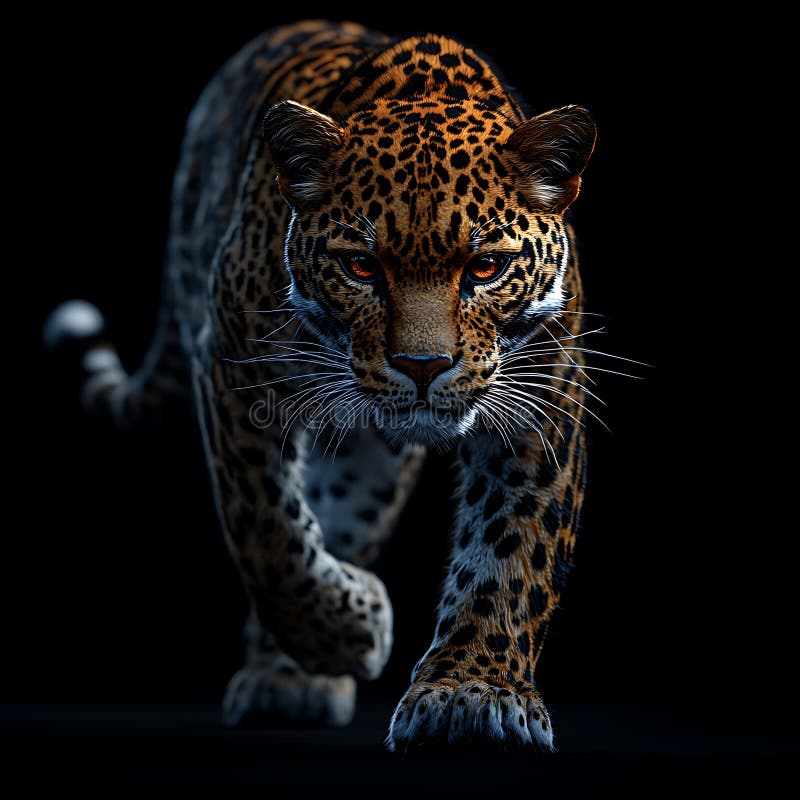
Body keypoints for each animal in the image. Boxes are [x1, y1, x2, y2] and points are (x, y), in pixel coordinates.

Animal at [43, 20, 597, 751]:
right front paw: (351, 635)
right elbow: (268, 533)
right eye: (360, 267)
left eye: (486, 268)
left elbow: (512, 552)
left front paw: (471, 692)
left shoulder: (544, 401)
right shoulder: (232, 365)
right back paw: (293, 673)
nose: (423, 366)